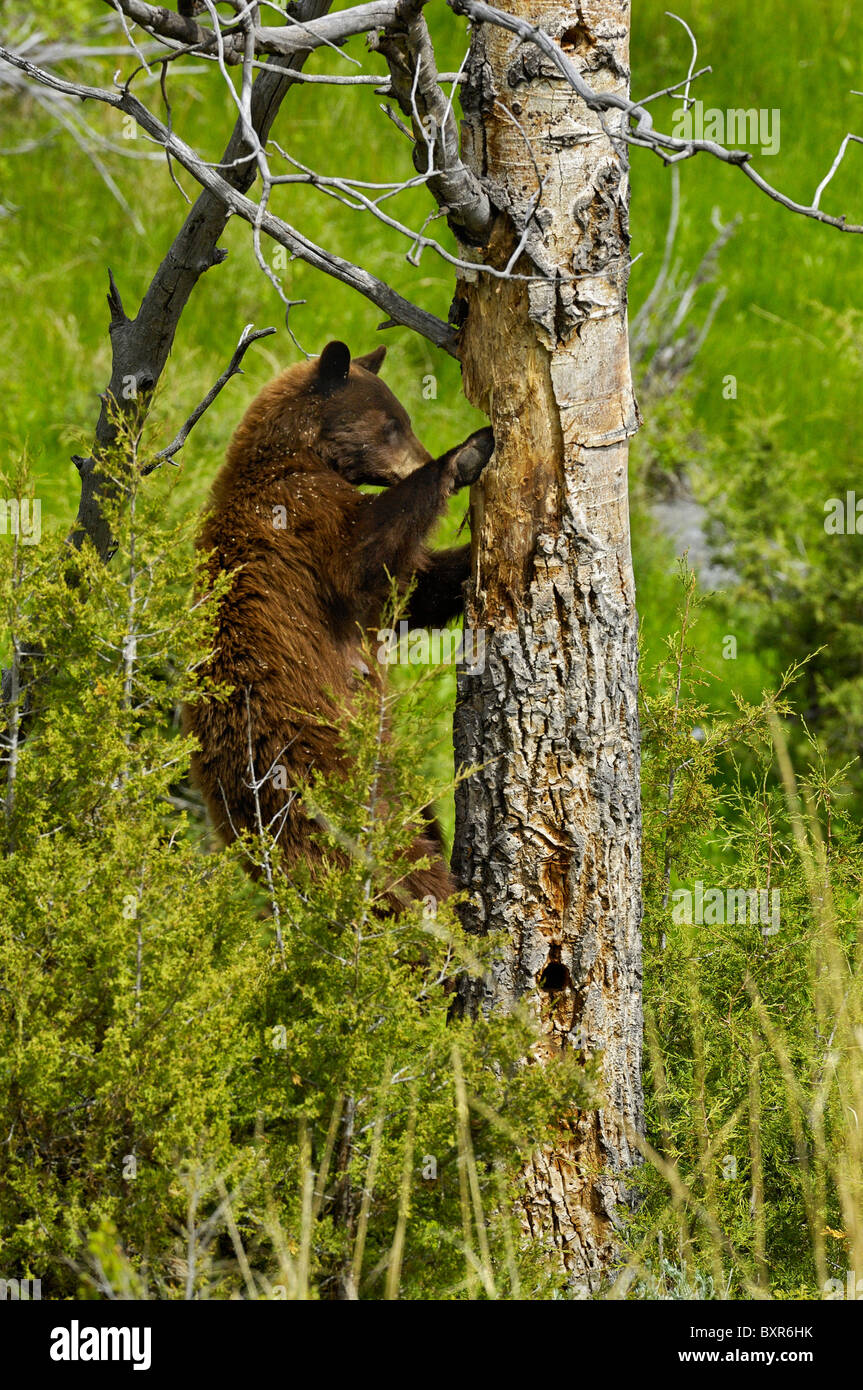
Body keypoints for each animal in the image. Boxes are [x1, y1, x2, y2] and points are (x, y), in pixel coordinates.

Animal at [184, 340, 494, 906]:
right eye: (393, 424)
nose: (418, 456)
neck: (297, 452)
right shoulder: (300, 514)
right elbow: (364, 555)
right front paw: (468, 451)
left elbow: (406, 592)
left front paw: (468, 563)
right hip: (326, 769)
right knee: (401, 860)